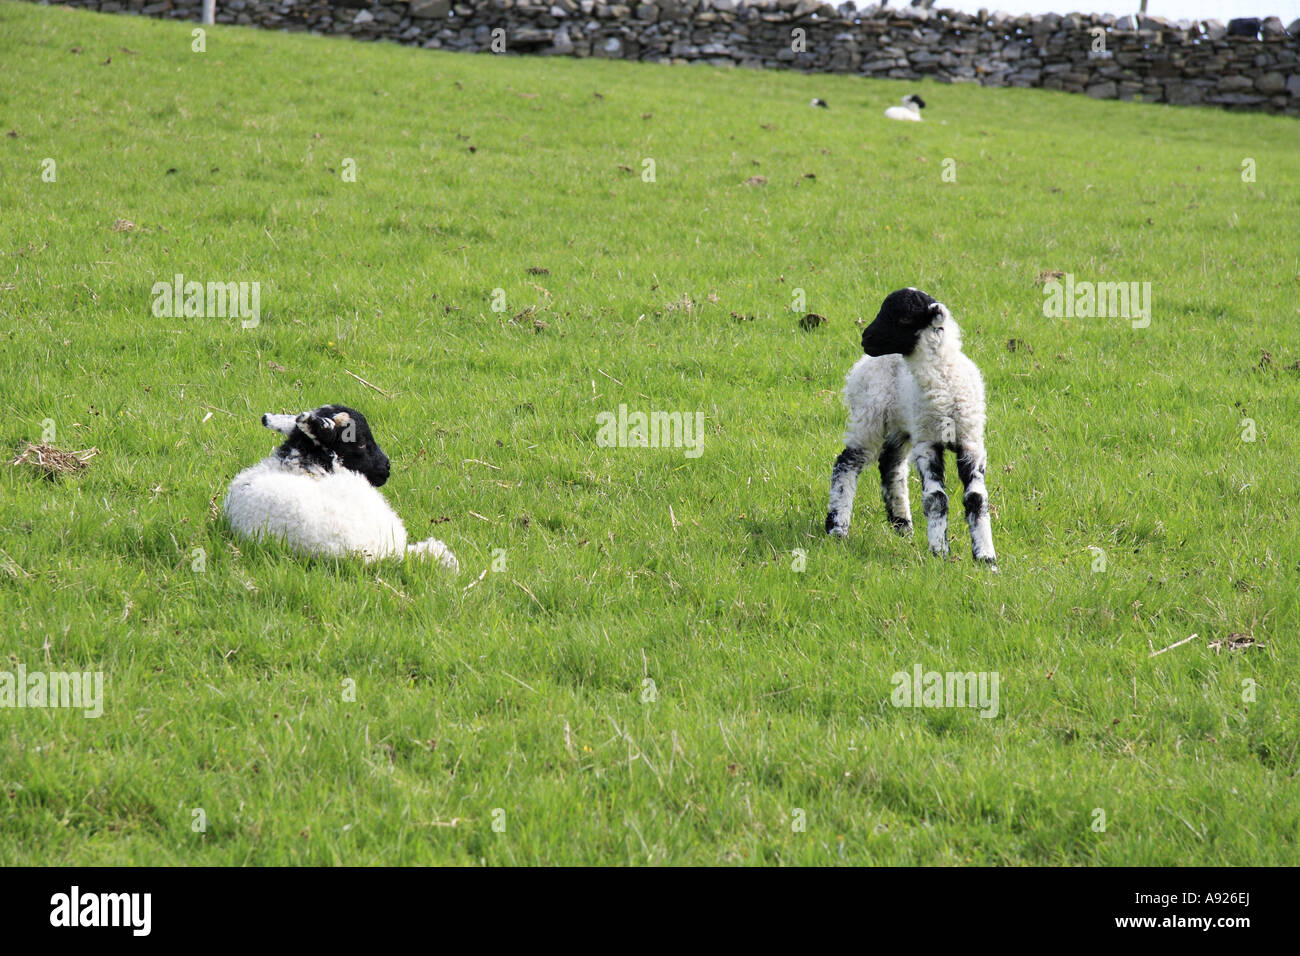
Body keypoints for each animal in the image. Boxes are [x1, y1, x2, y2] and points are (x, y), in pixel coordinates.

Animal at [824, 288, 997, 570]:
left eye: (905, 318)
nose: (865, 338)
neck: (944, 379)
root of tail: (861, 364)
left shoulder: (970, 442)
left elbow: (976, 497)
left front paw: (986, 557)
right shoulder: (928, 442)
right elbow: (936, 497)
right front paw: (940, 551)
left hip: (901, 425)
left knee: (891, 466)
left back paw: (902, 525)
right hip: (869, 418)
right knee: (846, 464)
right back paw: (838, 527)